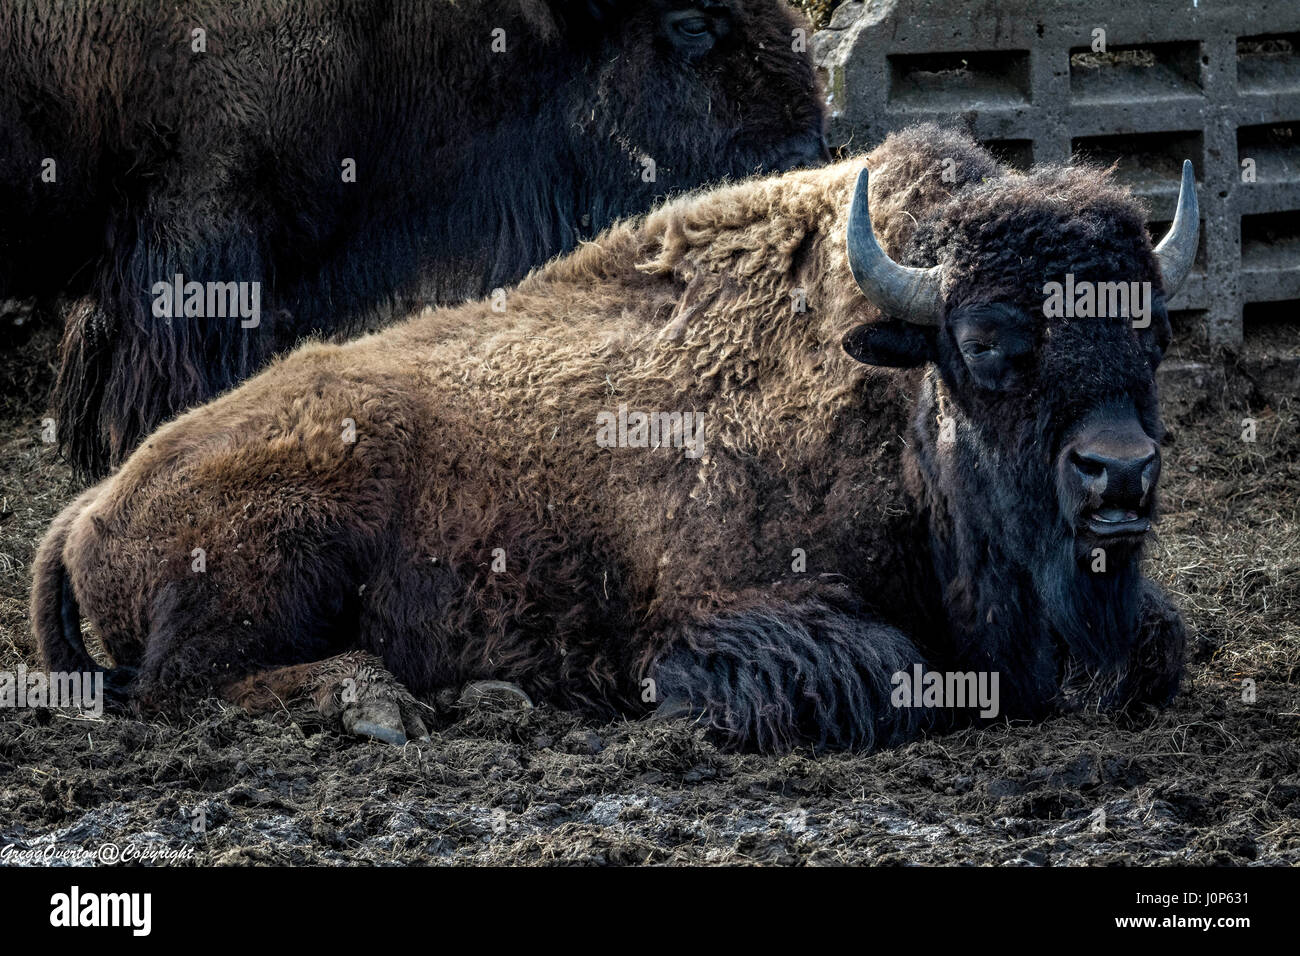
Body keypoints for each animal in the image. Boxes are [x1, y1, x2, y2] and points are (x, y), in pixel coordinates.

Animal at [31, 125, 1196, 751]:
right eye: (989, 342)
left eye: (1152, 333)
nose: (1118, 475)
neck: (891, 395)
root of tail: (87, 506)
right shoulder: (722, 620)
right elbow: (890, 669)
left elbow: (1161, 642)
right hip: (285, 546)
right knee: (184, 686)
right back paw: (377, 705)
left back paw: (484, 698)